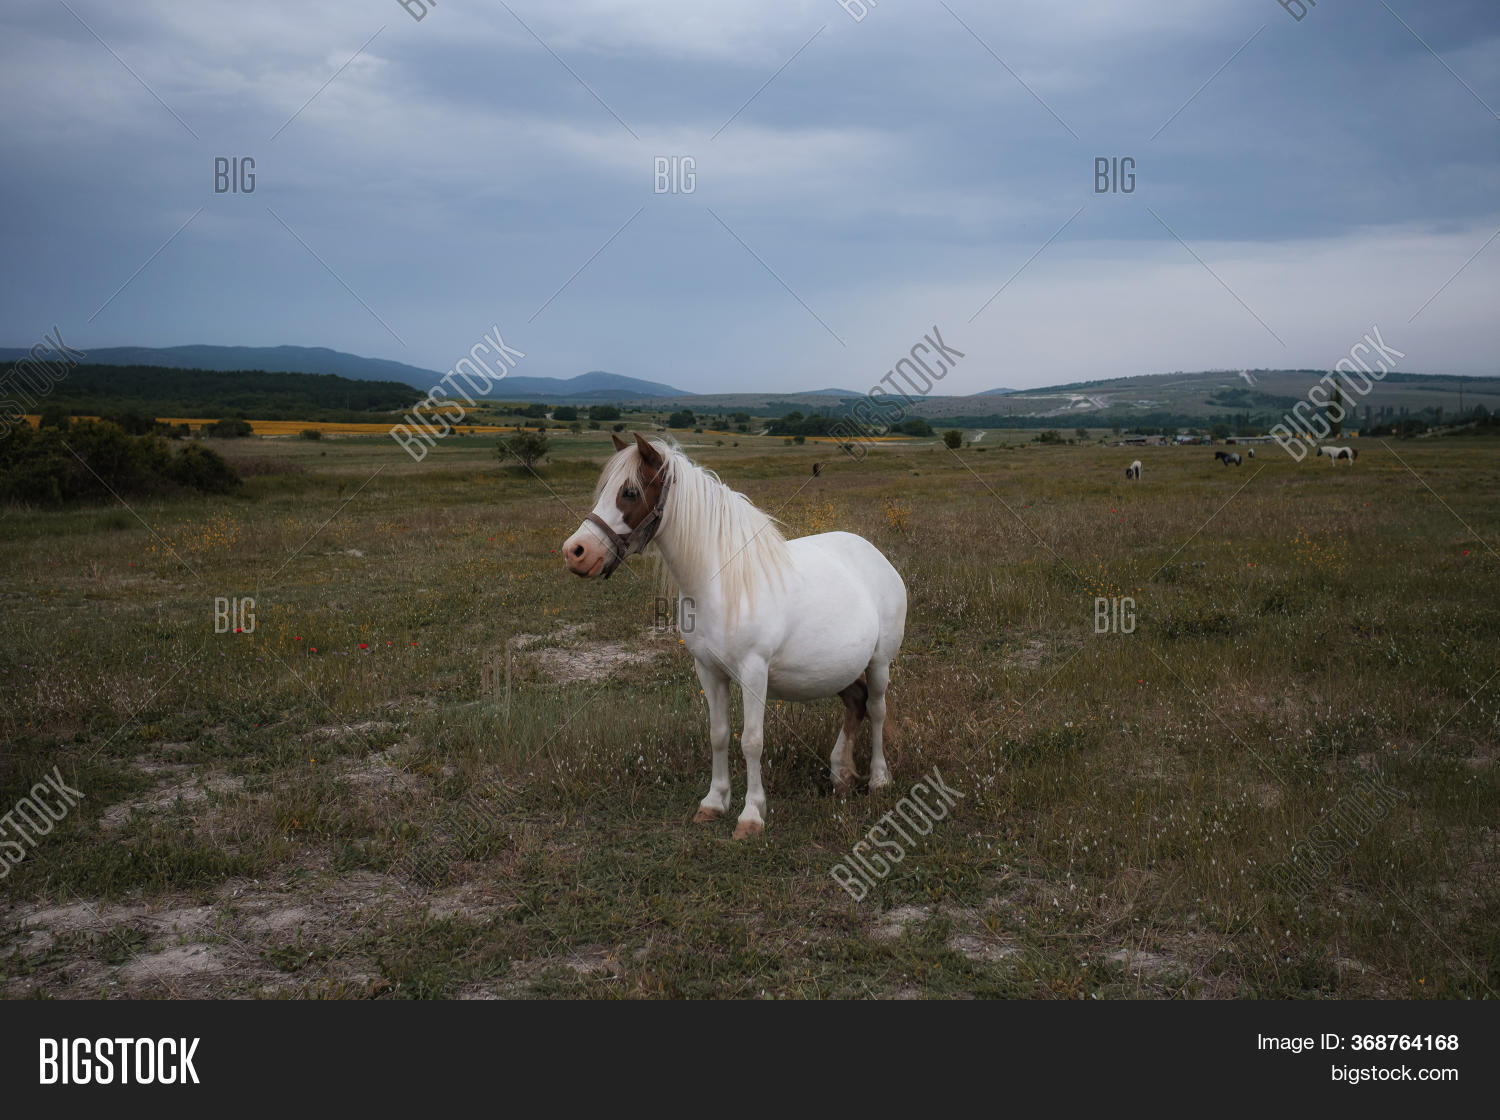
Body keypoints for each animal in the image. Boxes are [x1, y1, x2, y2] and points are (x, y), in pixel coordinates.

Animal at [561, 433, 908, 839]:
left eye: (629, 492)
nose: (575, 552)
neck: (722, 583)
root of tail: (877, 556)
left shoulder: (754, 673)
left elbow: (752, 741)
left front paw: (751, 815)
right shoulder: (709, 671)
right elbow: (719, 734)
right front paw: (714, 802)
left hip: (879, 662)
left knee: (877, 709)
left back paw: (879, 779)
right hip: (839, 667)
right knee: (856, 703)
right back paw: (841, 774)